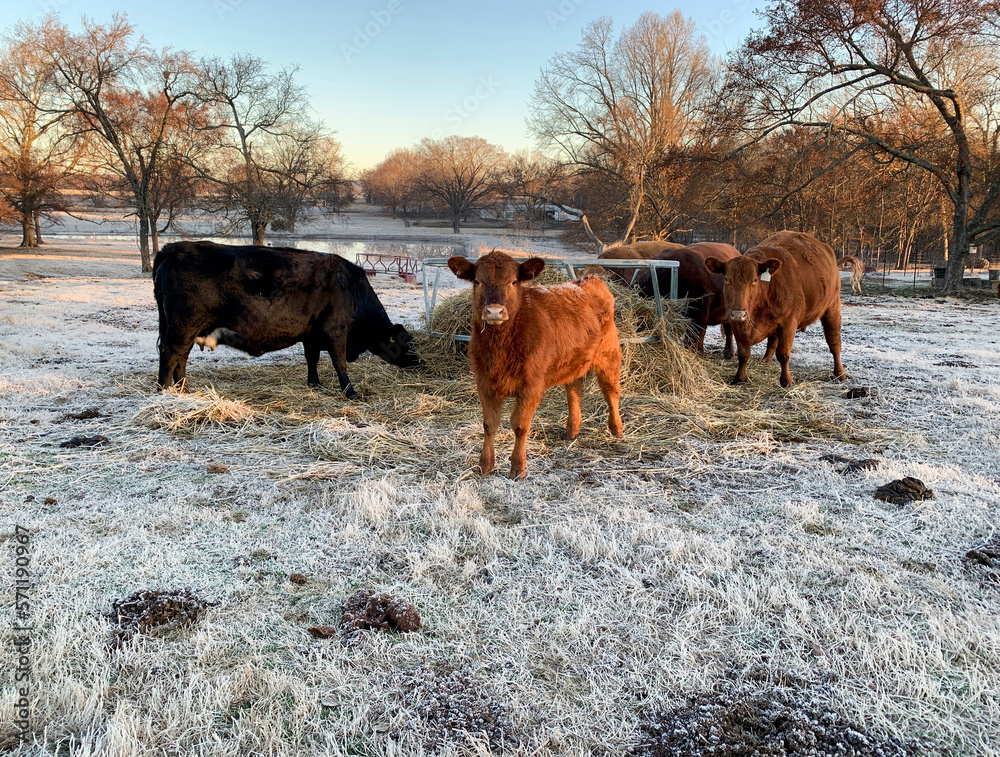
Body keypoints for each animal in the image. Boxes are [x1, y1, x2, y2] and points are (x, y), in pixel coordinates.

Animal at [153, 241, 420, 396]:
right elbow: (339, 362)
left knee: (181, 356)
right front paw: (350, 391)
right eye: (407, 344)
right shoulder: (336, 331)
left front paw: (315, 383)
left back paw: (184, 388)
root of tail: (173, 247)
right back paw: (165, 390)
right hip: (183, 326)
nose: (420, 362)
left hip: (185, 328)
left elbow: (312, 359)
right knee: (170, 353)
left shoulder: (311, 335)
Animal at [447, 250, 623, 480]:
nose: (494, 311)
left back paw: (617, 429)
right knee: (574, 392)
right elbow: (489, 424)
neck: (500, 347)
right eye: (477, 281)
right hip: (573, 361)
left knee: (611, 393)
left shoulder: (531, 385)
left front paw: (518, 467)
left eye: (513, 281)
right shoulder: (484, 382)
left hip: (608, 355)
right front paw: (485, 465)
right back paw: (572, 430)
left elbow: (520, 425)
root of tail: (588, 280)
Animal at [704, 231, 847, 388]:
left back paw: (840, 374)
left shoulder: (789, 324)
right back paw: (766, 361)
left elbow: (783, 354)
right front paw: (740, 378)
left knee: (834, 342)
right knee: (772, 342)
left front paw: (786, 381)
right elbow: (743, 353)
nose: (738, 313)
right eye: (726, 279)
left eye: (755, 280)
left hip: (832, 307)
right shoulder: (737, 324)